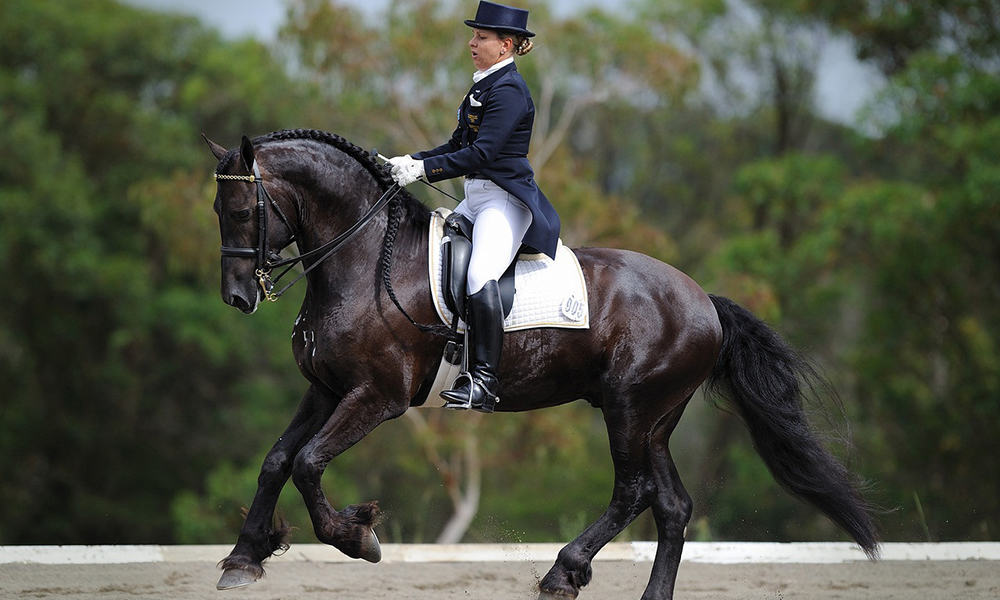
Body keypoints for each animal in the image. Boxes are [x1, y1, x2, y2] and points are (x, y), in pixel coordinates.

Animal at [202, 128, 878, 600]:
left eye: (240, 211)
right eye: (218, 212)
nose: (236, 298)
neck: (364, 258)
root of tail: (702, 301)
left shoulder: (377, 397)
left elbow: (309, 462)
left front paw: (357, 536)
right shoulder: (324, 388)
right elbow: (277, 461)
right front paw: (244, 558)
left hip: (630, 408)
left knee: (632, 490)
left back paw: (562, 572)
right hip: (653, 417)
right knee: (670, 505)